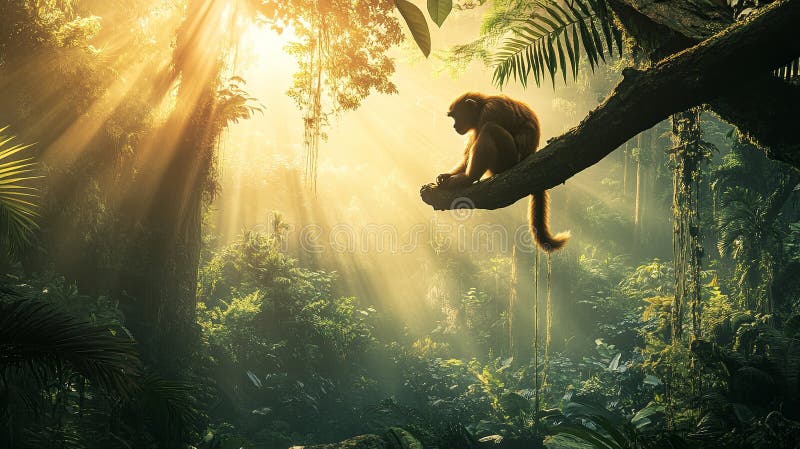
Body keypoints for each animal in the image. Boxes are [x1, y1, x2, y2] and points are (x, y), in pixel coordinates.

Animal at [436, 92, 570, 252]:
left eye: (456, 116)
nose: (454, 126)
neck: (482, 105)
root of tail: (529, 154)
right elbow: (467, 156)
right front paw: (447, 175)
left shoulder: (490, 112)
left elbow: (486, 129)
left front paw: (465, 178)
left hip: (509, 157)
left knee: (490, 129)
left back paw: (469, 177)